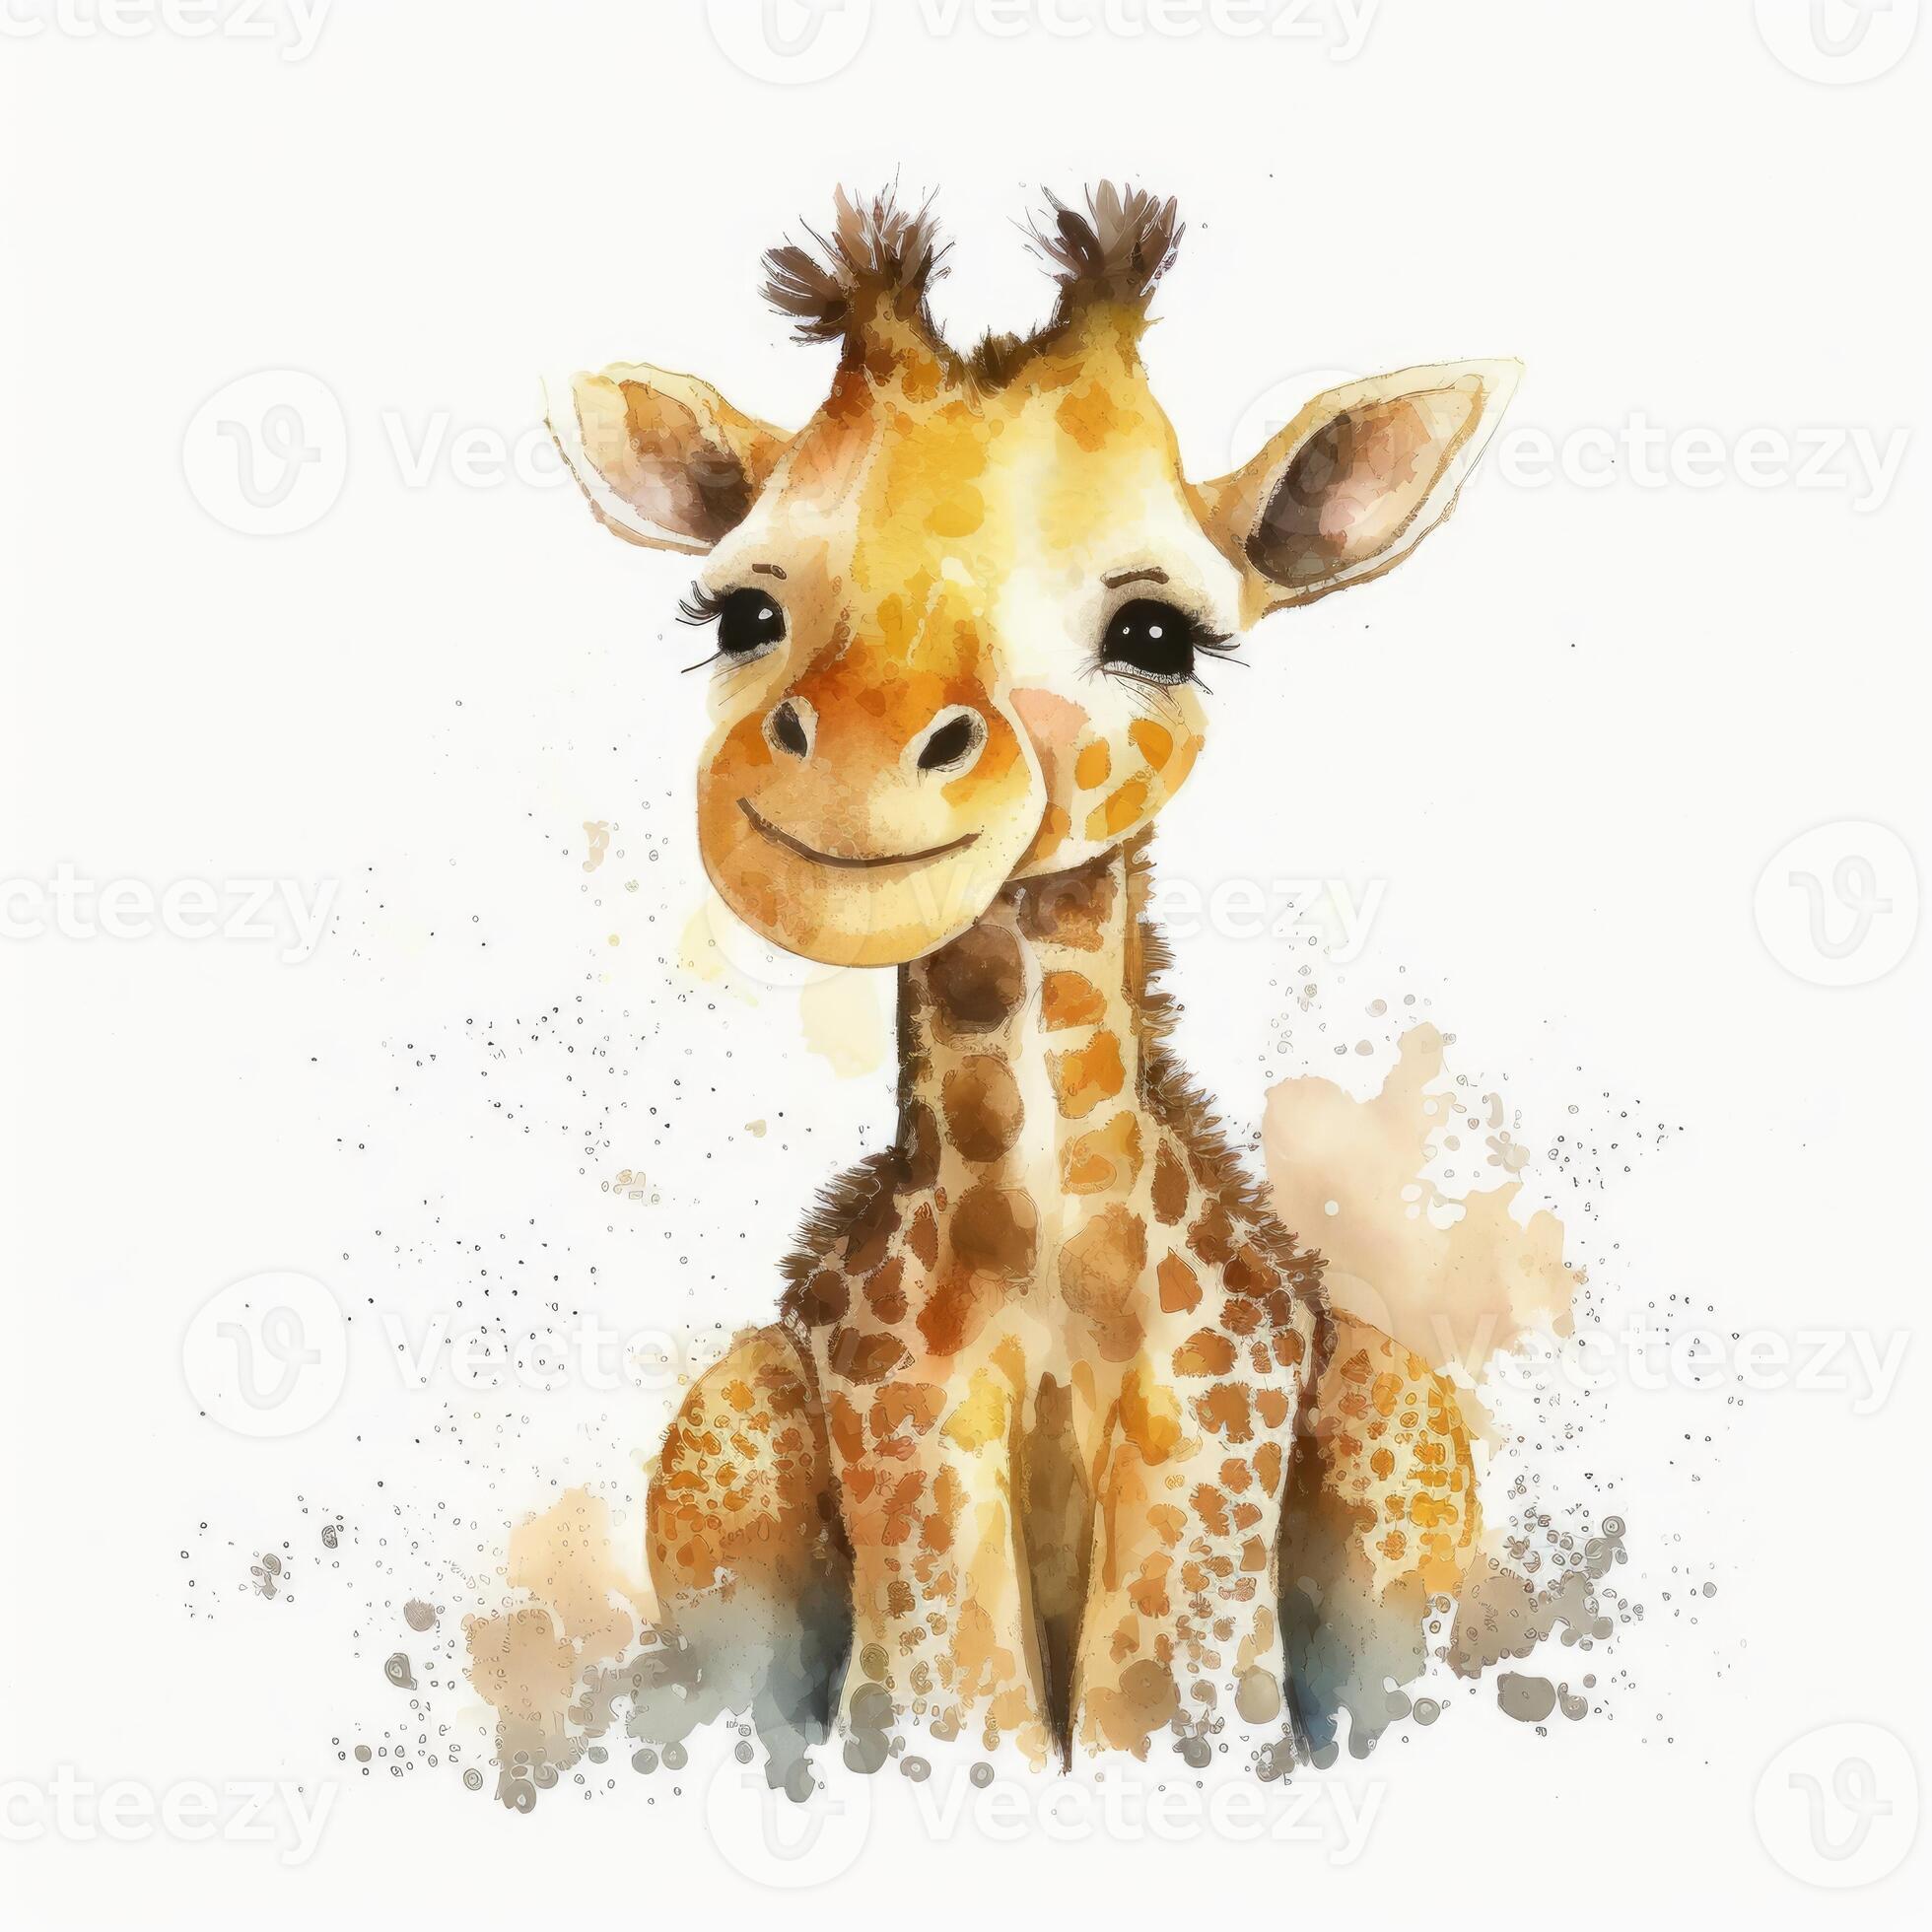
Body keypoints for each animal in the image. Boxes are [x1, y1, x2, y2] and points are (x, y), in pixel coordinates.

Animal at [549, 186, 1513, 1792]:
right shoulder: (908, 1504)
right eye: (745, 614)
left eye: (1156, 633)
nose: (849, 783)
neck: (1057, 1311)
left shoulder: (1210, 1570)